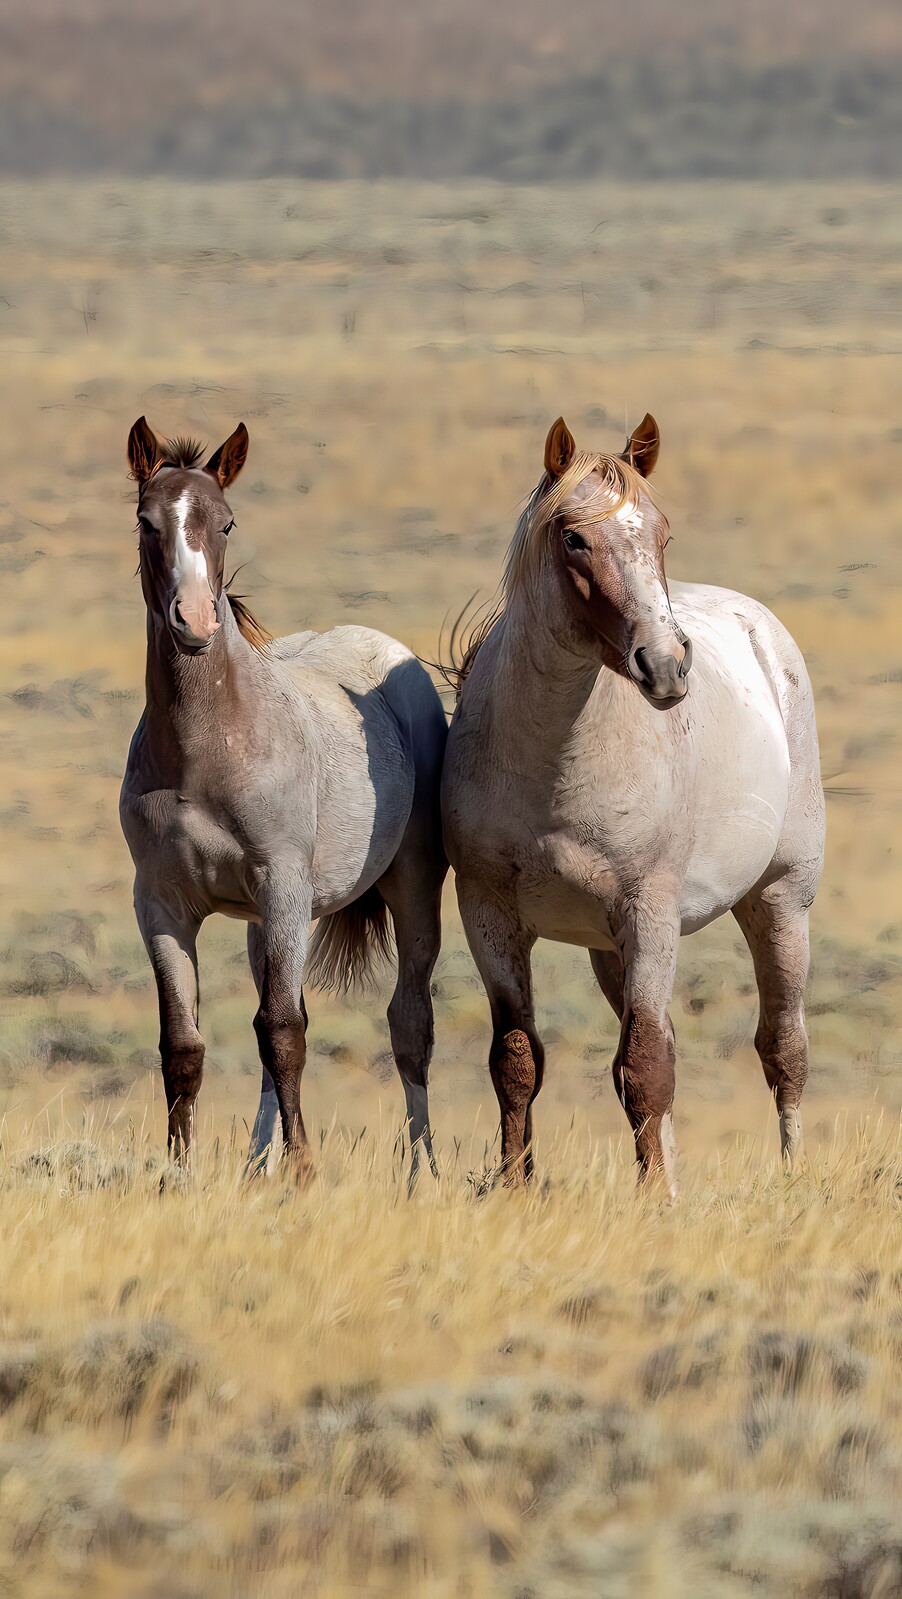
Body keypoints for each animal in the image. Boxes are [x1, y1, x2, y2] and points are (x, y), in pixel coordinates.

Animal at [120, 417, 447, 1184]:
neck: (205, 751)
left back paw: (422, 1169)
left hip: (410, 891)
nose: (194, 620)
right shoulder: (162, 905)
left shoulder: (285, 888)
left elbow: (284, 1032)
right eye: (148, 521)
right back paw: (253, 1166)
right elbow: (185, 1045)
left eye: (226, 522)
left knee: (409, 1026)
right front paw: (180, 1176)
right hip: (260, 925)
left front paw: (302, 1174)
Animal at [441, 414, 825, 1194]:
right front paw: (518, 1187)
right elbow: (518, 1061)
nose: (667, 666)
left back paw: (793, 1175)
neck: (555, 763)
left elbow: (646, 1067)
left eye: (663, 534)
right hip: (609, 949)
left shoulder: (650, 913)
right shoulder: (488, 913)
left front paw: (653, 1201)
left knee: (783, 1048)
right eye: (573, 538)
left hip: (779, 901)